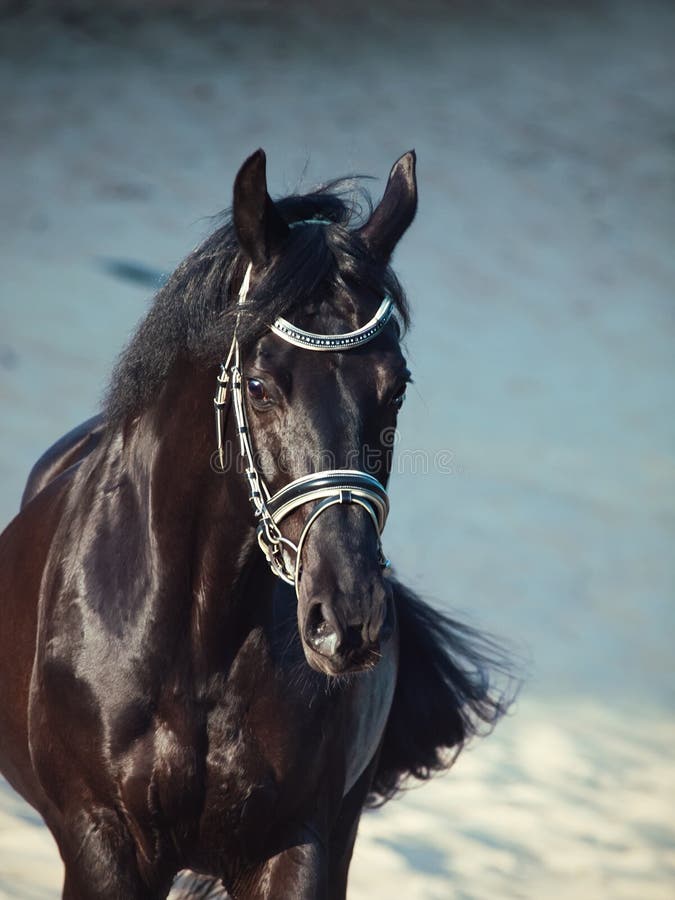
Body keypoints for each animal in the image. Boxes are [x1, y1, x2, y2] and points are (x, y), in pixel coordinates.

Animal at [0, 149, 513, 899]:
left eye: (396, 388)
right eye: (261, 386)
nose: (348, 617)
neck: (197, 643)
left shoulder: (298, 844)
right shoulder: (103, 843)